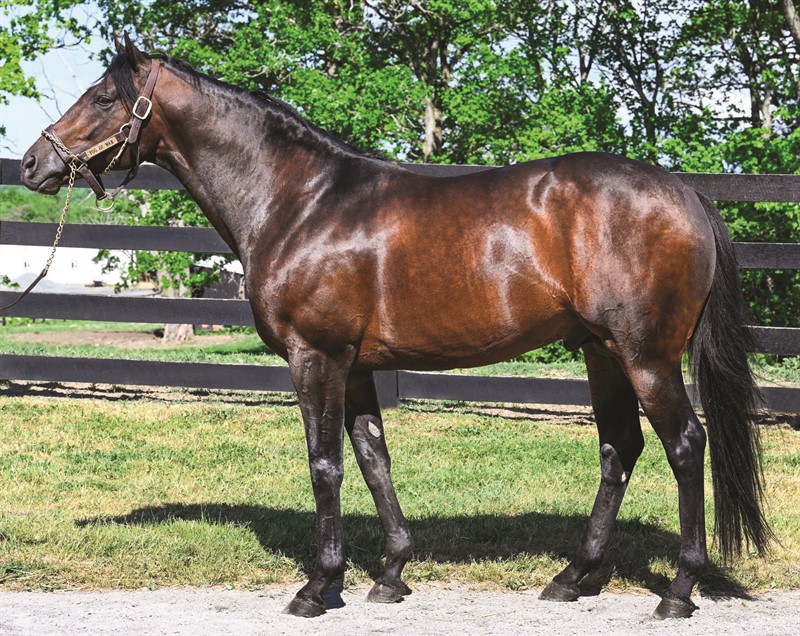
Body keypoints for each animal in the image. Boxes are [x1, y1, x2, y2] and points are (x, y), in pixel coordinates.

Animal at [20, 35, 771, 620]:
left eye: (104, 98)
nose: (33, 162)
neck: (301, 201)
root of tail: (684, 192)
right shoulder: (354, 365)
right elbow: (372, 459)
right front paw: (389, 575)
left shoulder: (315, 356)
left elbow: (324, 463)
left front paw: (318, 587)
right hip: (602, 352)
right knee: (620, 449)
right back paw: (572, 577)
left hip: (647, 356)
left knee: (685, 445)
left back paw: (677, 591)